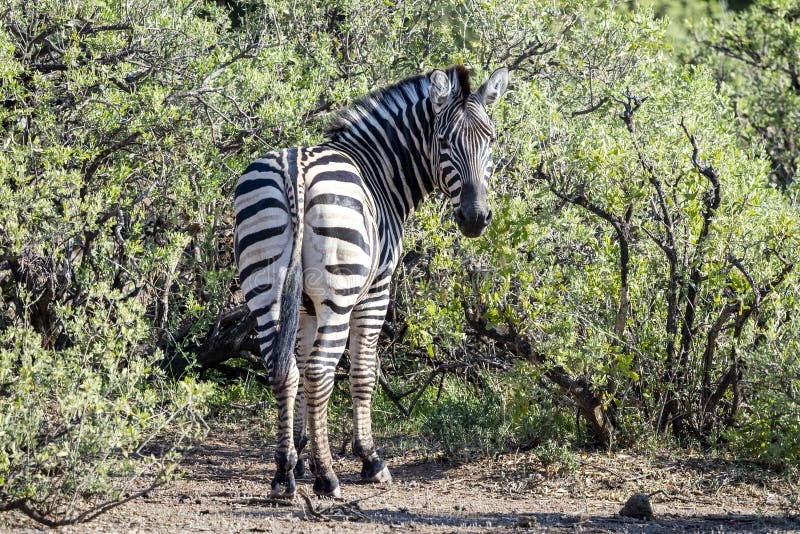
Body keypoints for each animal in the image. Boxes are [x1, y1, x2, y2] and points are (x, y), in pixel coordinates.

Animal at [233, 65, 509, 498]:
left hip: (265, 289)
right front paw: (368, 459)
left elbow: (298, 366)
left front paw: (298, 453)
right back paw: (328, 478)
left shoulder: (305, 308)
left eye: (490, 139)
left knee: (285, 369)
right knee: (319, 371)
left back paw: (282, 477)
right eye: (444, 141)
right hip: (339, 294)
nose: (475, 218)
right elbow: (362, 373)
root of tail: (296, 170)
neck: (380, 171)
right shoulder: (376, 291)